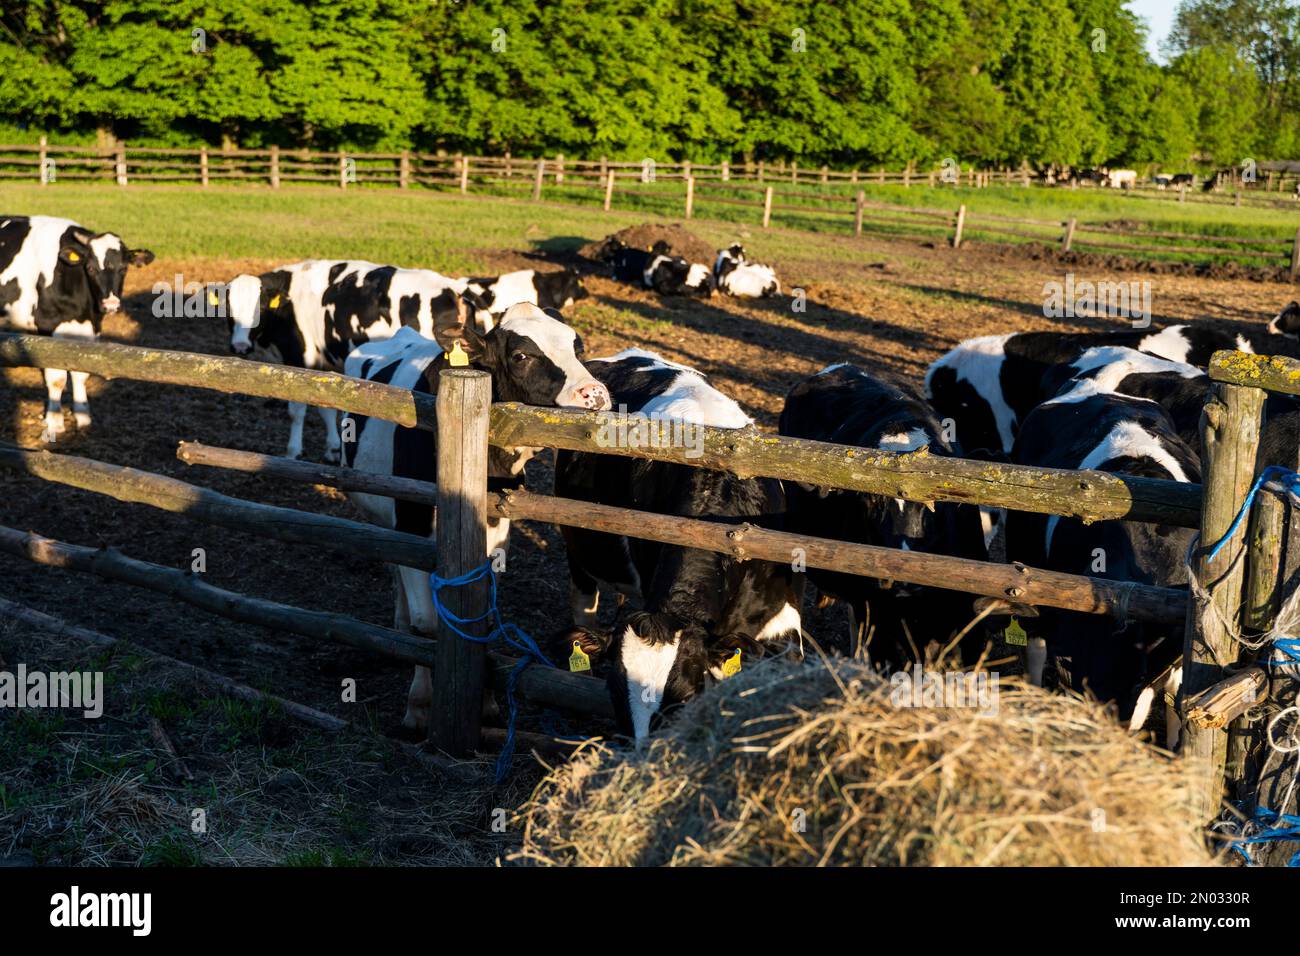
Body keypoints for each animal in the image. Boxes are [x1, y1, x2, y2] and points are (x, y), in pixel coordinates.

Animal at [0, 215, 154, 442]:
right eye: (90, 268)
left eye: (124, 268)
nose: (110, 304)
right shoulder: (48, 324)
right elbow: (56, 378)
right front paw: (54, 421)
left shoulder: (89, 331)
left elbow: (80, 372)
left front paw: (82, 416)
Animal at [224, 259, 483, 461]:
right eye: (228, 309)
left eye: (261, 307)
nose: (240, 346)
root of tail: (456, 290)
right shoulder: (323, 364)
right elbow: (326, 408)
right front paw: (332, 448)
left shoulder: (300, 358)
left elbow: (297, 410)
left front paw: (293, 451)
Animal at [340, 303, 611, 732]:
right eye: (521, 355)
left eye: (577, 346)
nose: (595, 394)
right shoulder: (413, 526)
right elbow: (427, 625)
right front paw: (419, 707)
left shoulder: (496, 536)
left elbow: (482, 620)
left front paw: (486, 705)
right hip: (382, 520)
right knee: (398, 579)